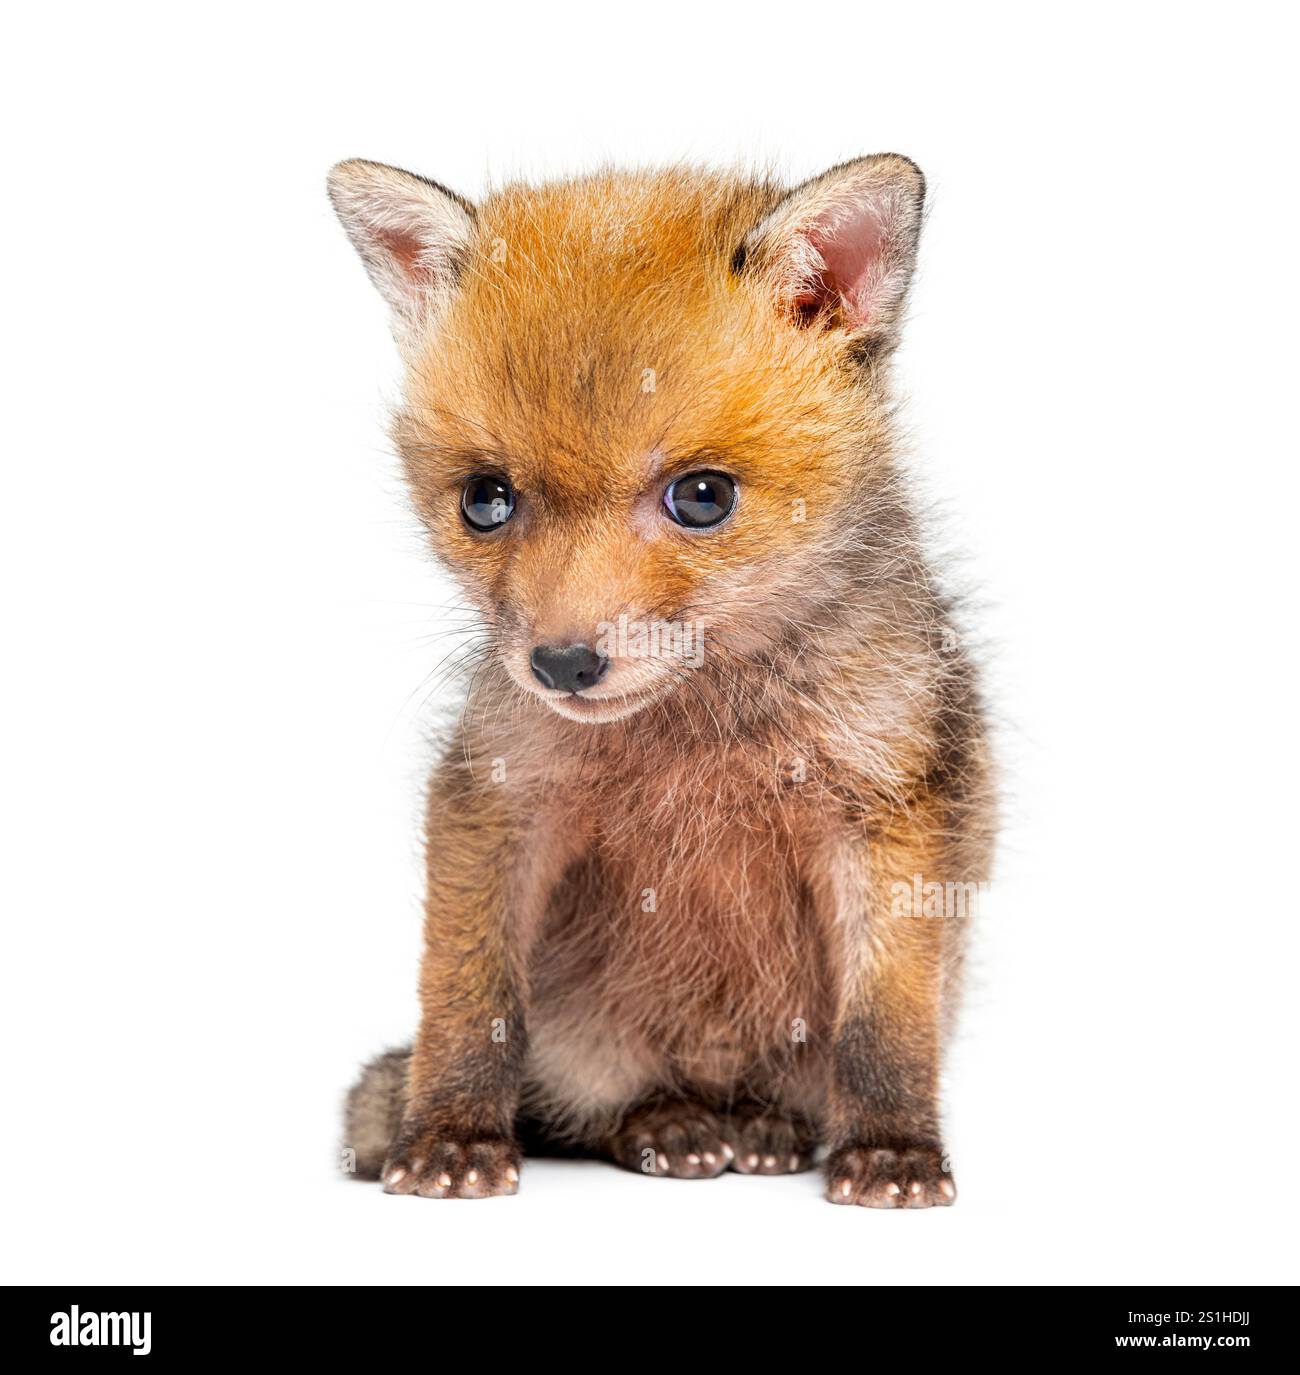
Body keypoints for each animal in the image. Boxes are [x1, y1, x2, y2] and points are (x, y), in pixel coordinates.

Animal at [329, 154, 995, 1206]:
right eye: (486, 500)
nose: (561, 664)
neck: (699, 735)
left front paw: (893, 1148)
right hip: (591, 1046)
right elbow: (467, 997)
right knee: (599, 1108)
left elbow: (886, 1024)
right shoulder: (496, 795)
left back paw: (759, 1128)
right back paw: (669, 1126)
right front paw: (449, 1133)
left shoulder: (890, 810)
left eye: (702, 496)